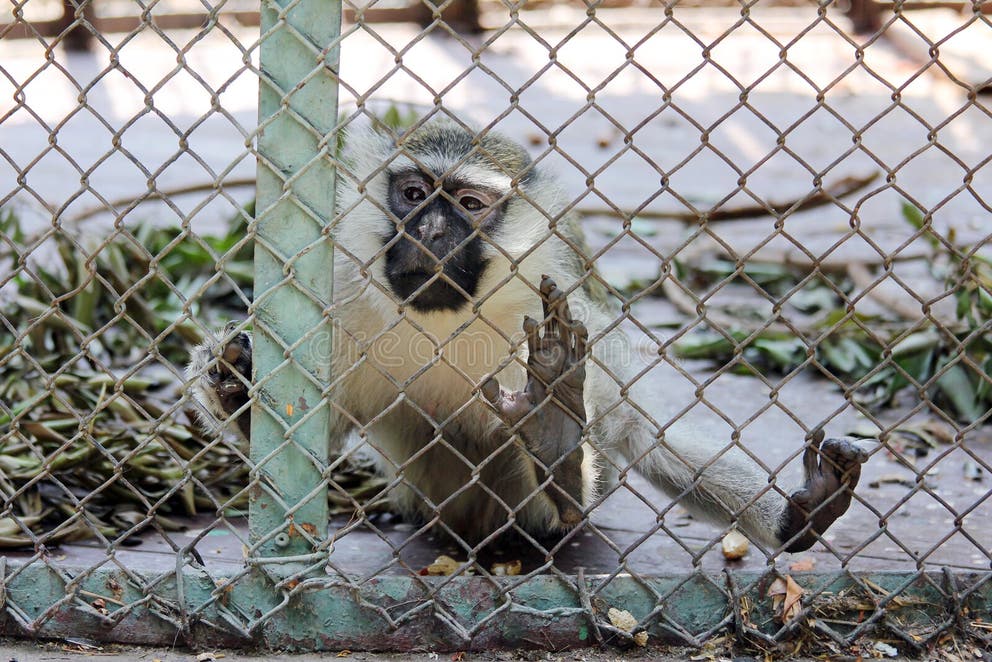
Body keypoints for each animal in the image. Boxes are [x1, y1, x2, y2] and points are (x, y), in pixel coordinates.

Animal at [187, 120, 869, 553]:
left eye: (468, 204)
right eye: (413, 194)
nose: (430, 230)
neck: (448, 319)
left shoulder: (571, 304)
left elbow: (642, 433)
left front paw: (794, 515)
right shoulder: (334, 305)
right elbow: (306, 438)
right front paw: (236, 384)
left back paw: (557, 440)